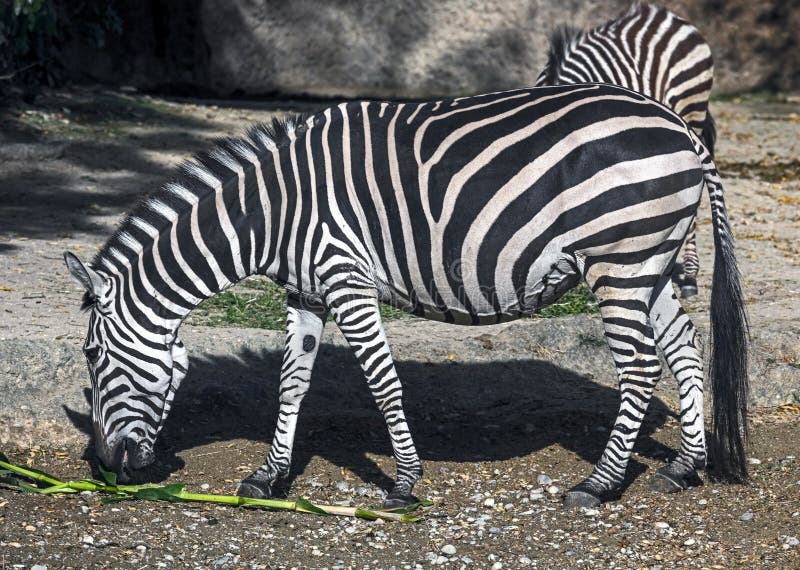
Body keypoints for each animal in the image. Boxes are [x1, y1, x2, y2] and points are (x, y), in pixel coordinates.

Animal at [64, 83, 748, 510]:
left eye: (93, 357)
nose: (102, 466)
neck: (270, 215)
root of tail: (679, 125)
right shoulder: (306, 290)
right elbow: (291, 382)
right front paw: (268, 475)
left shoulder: (345, 276)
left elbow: (382, 381)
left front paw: (403, 485)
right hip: (651, 261)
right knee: (684, 349)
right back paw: (682, 468)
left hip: (619, 259)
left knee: (640, 367)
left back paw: (599, 485)